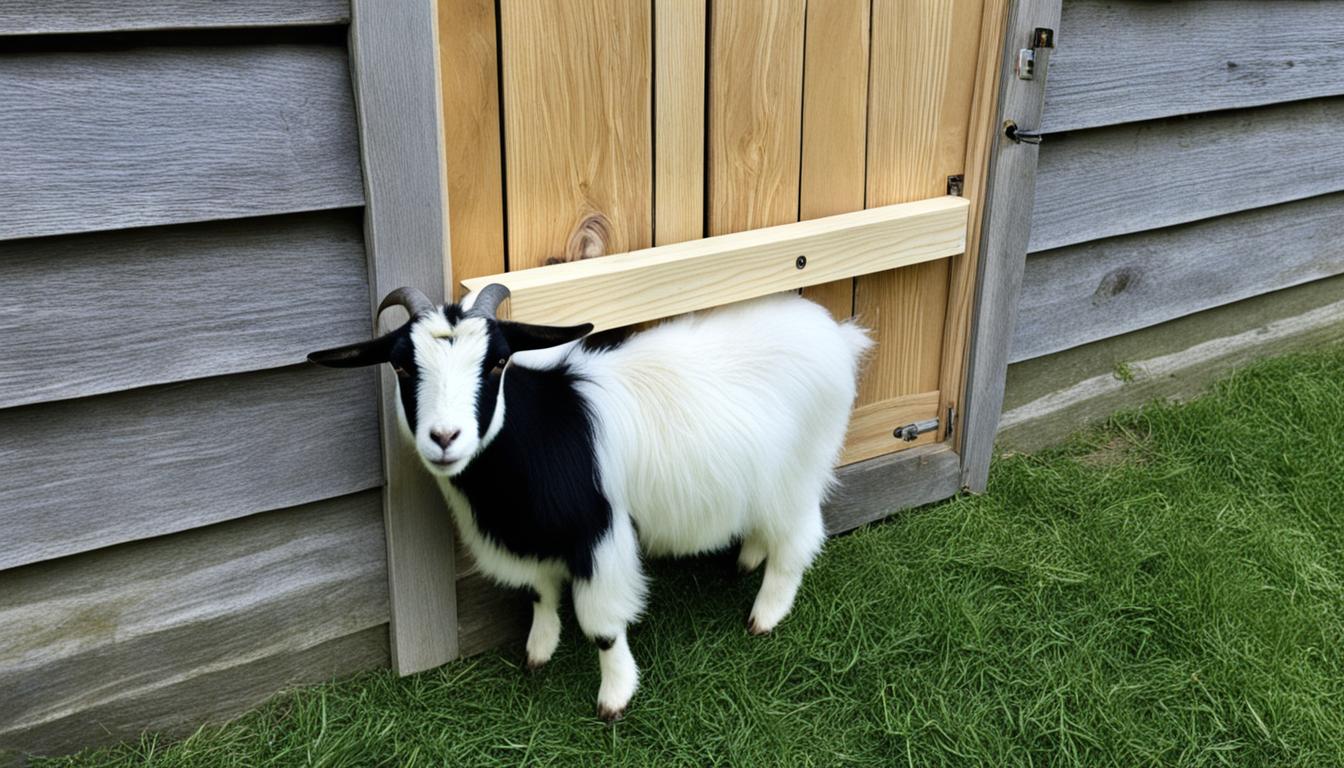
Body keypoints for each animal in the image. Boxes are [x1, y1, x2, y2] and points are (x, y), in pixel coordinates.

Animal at [309, 285, 871, 720]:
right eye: (402, 366)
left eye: (497, 362)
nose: (444, 438)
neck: (535, 435)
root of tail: (839, 337)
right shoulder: (533, 537)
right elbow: (538, 593)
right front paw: (539, 651)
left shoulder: (597, 535)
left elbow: (602, 629)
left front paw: (615, 696)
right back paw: (748, 559)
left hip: (797, 472)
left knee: (797, 540)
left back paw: (765, 614)